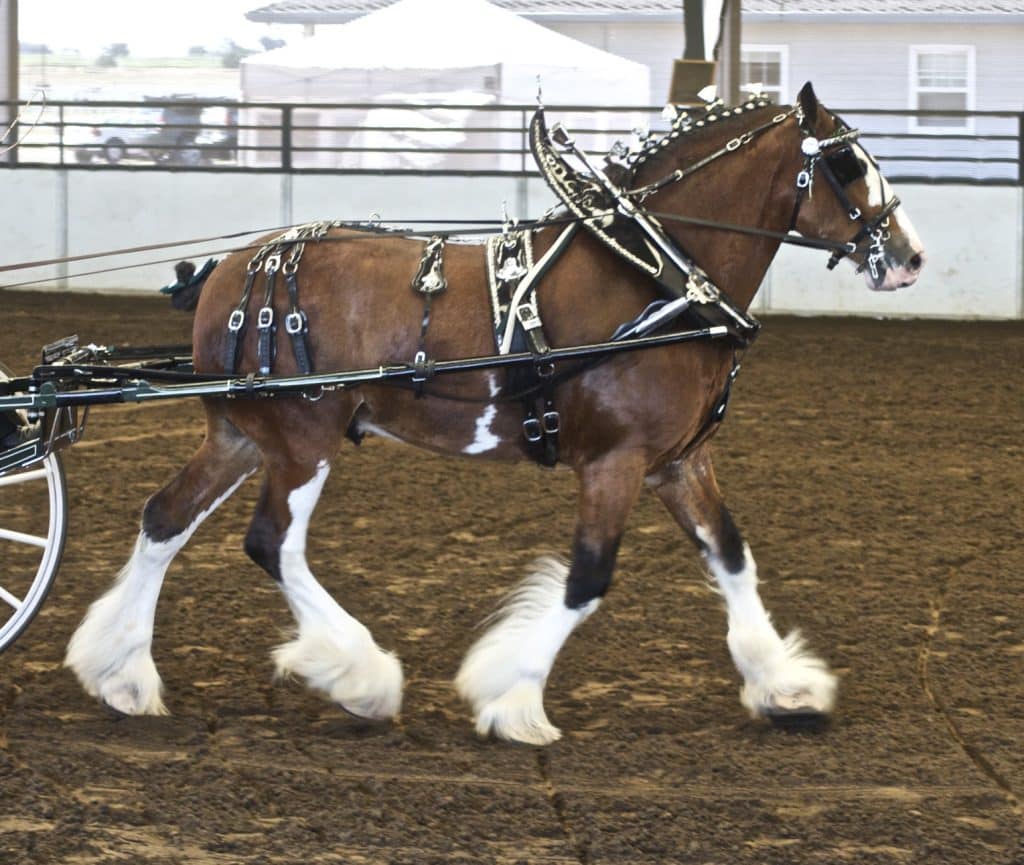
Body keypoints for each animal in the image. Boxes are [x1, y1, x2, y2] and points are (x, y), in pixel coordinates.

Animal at [64, 83, 925, 745]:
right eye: (847, 162)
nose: (910, 256)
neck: (655, 274)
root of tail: (229, 270)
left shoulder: (678, 461)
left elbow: (732, 555)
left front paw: (784, 685)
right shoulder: (614, 462)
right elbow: (587, 578)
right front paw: (511, 698)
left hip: (244, 434)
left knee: (165, 517)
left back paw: (122, 674)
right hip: (304, 439)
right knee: (273, 542)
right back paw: (360, 675)